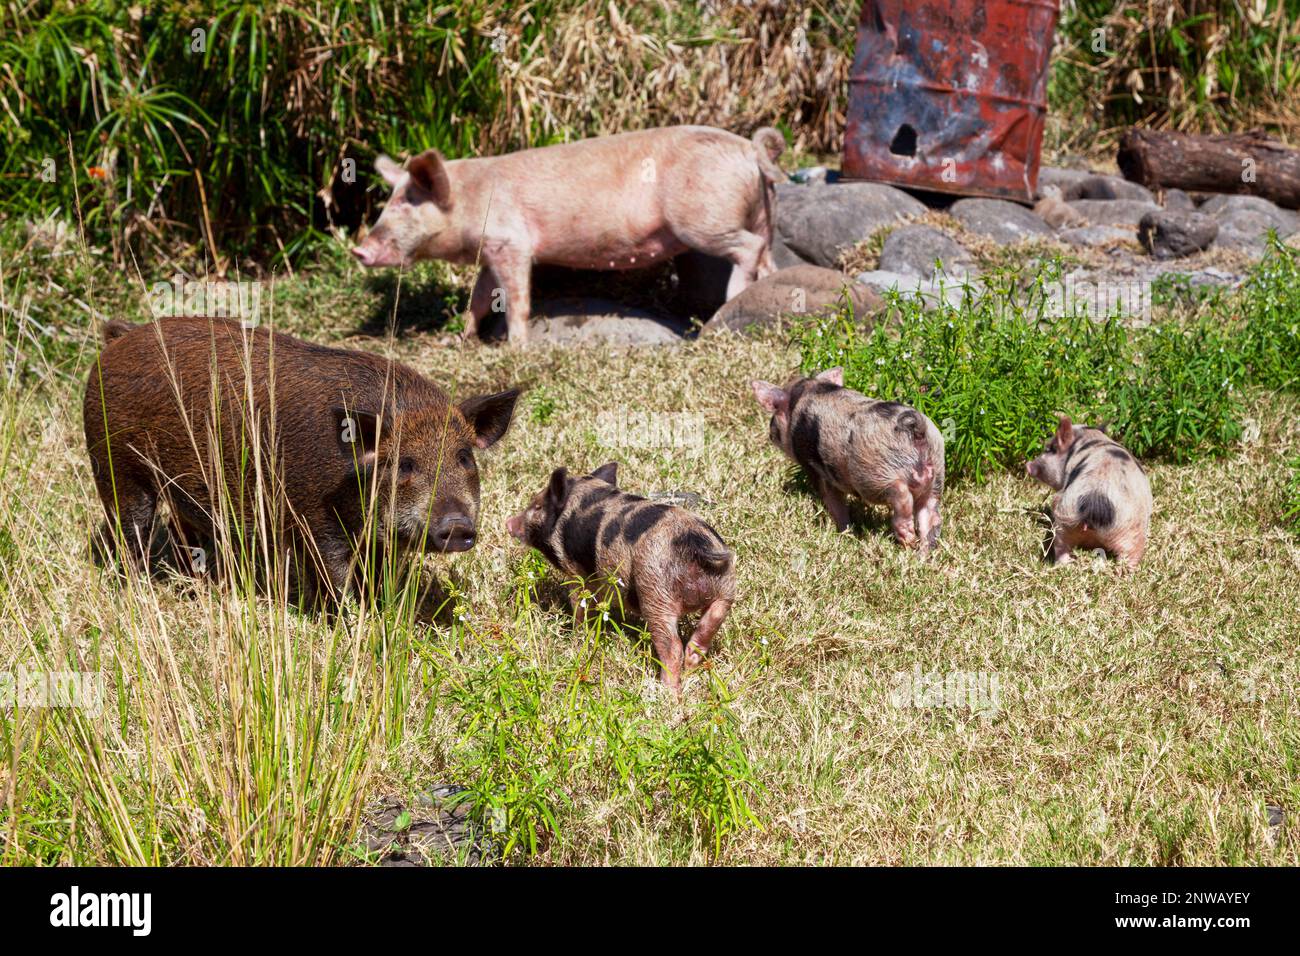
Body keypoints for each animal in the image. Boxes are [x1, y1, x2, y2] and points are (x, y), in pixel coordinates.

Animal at [83, 316, 519, 603]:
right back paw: (140, 593)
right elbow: (334, 580)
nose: (457, 525)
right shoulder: (314, 519)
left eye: (464, 456)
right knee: (131, 534)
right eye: (404, 464)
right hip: (115, 467)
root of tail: (118, 341)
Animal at [351, 125, 786, 345]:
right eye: (391, 200)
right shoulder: (490, 253)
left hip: (703, 221)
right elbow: (478, 298)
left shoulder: (511, 243)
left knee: (748, 248)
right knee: (768, 257)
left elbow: (517, 299)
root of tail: (750, 148)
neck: (468, 198)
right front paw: (458, 339)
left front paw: (516, 349)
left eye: (407, 202)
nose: (359, 250)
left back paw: (729, 302)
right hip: (763, 214)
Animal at [506, 462, 735, 692]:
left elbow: (579, 605)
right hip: (725, 588)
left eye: (537, 506)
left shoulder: (576, 573)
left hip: (655, 590)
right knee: (708, 625)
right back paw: (690, 668)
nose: (508, 523)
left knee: (672, 646)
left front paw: (577, 636)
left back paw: (667, 691)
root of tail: (695, 544)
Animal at [751, 367, 945, 553]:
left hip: (876, 475)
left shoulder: (814, 467)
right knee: (931, 516)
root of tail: (917, 431)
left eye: (775, 413)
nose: (770, 434)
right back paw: (922, 555)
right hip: (936, 475)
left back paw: (908, 541)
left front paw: (844, 533)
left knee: (902, 496)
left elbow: (833, 501)